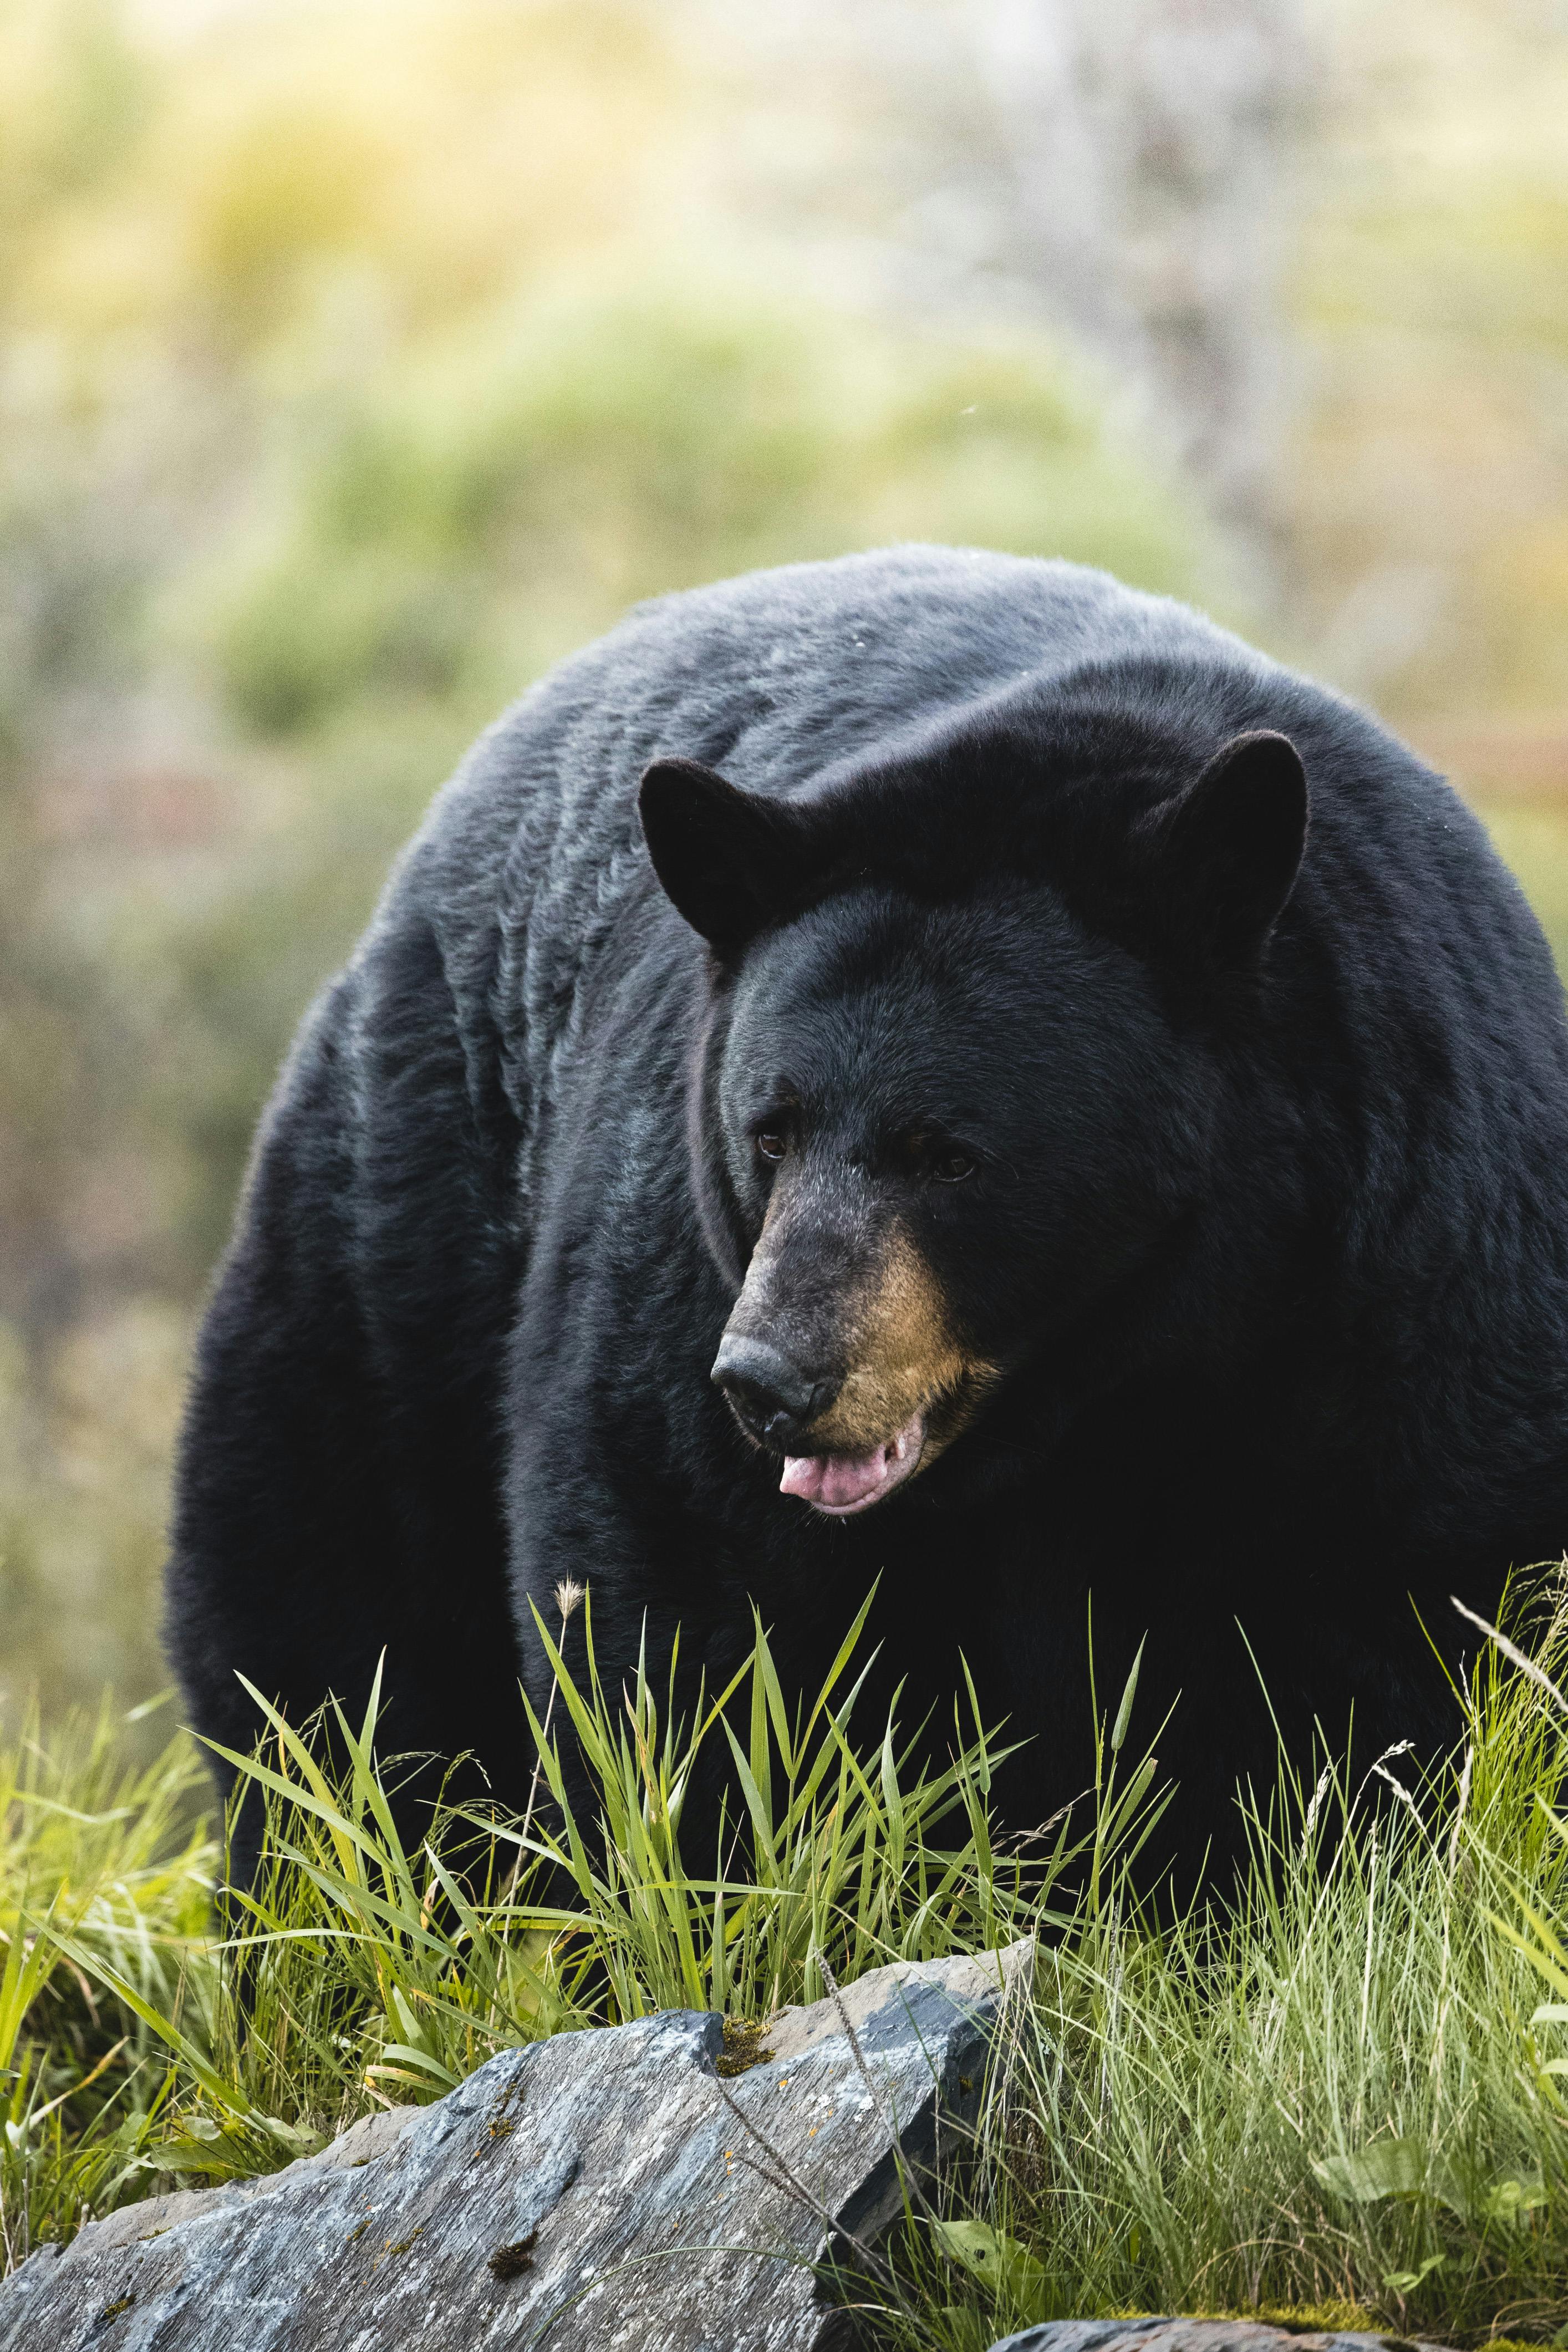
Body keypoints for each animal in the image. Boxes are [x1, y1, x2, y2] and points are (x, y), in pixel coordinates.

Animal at [165, 545, 1568, 1892]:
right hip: (409, 1217)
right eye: (768, 1130)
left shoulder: (1411, 1283)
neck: (1113, 1388)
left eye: (948, 1156)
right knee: (328, 1627)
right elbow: (680, 1621)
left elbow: (1383, 1629)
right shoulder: (677, 1271)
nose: (770, 1380)